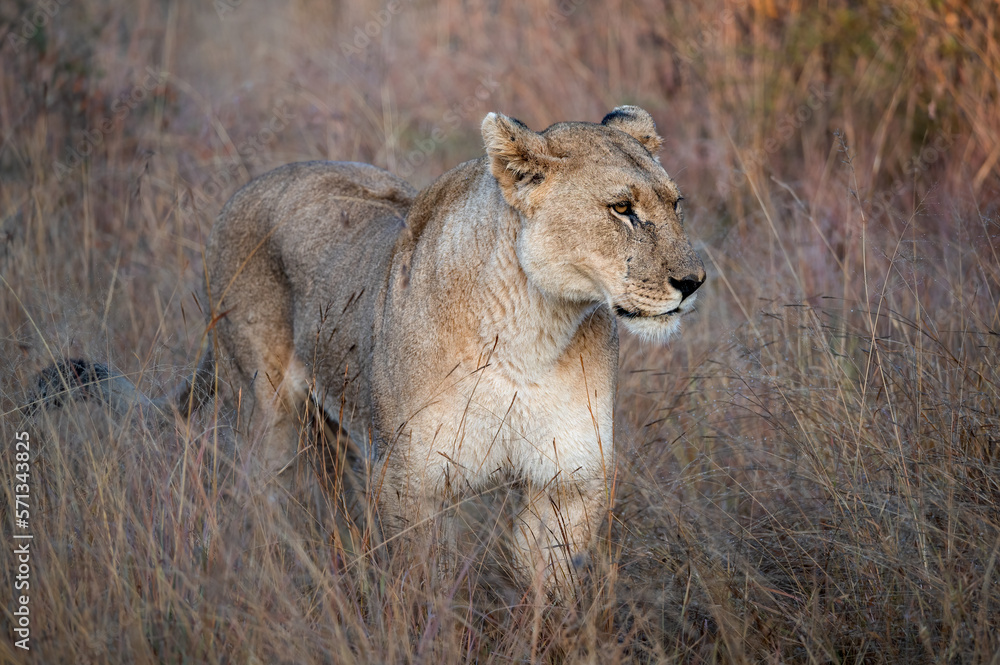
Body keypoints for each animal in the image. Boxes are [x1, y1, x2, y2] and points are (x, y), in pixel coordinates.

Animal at [30, 105, 705, 586]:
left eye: (676, 204)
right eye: (622, 209)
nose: (694, 282)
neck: (531, 335)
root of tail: (256, 183)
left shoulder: (569, 481)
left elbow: (543, 601)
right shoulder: (413, 481)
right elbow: (425, 591)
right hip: (267, 411)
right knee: (256, 496)